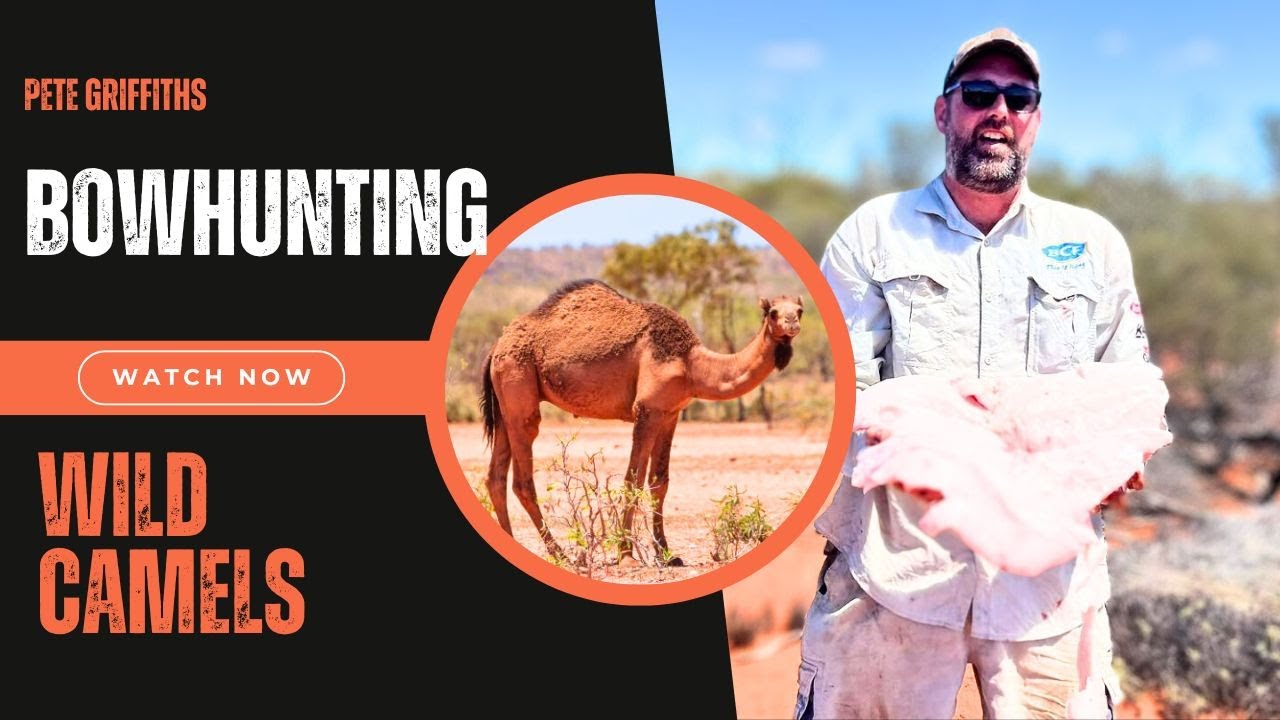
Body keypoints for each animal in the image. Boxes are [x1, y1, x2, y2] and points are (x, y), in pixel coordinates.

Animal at [480, 278, 803, 566]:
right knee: (522, 478)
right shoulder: (647, 409)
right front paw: (626, 555)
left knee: (495, 477)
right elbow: (632, 479)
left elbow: (660, 481)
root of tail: (496, 346)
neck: (691, 363)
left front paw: (667, 554)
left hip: (505, 405)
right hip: (518, 383)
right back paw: (560, 554)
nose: (792, 325)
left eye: (799, 310)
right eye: (773, 312)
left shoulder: (670, 413)